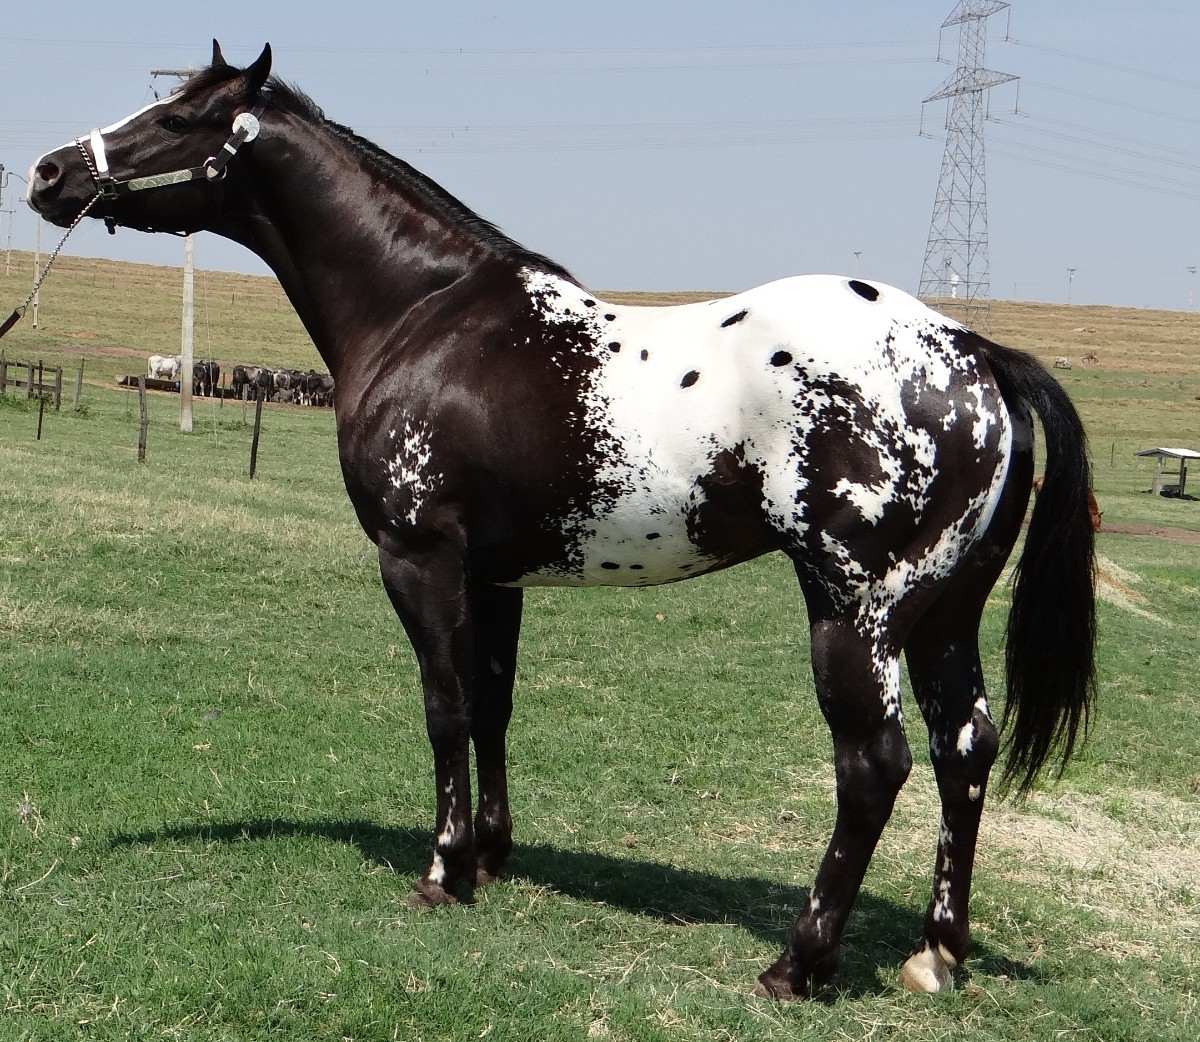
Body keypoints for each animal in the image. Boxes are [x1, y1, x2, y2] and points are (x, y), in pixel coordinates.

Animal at [25, 41, 1096, 999]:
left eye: (176, 118)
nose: (49, 172)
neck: (424, 315)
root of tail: (973, 353)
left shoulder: (419, 559)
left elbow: (444, 706)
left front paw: (441, 871)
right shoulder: (493, 574)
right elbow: (493, 704)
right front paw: (490, 857)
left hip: (854, 612)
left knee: (874, 766)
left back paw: (799, 964)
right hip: (945, 614)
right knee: (965, 750)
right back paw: (936, 955)